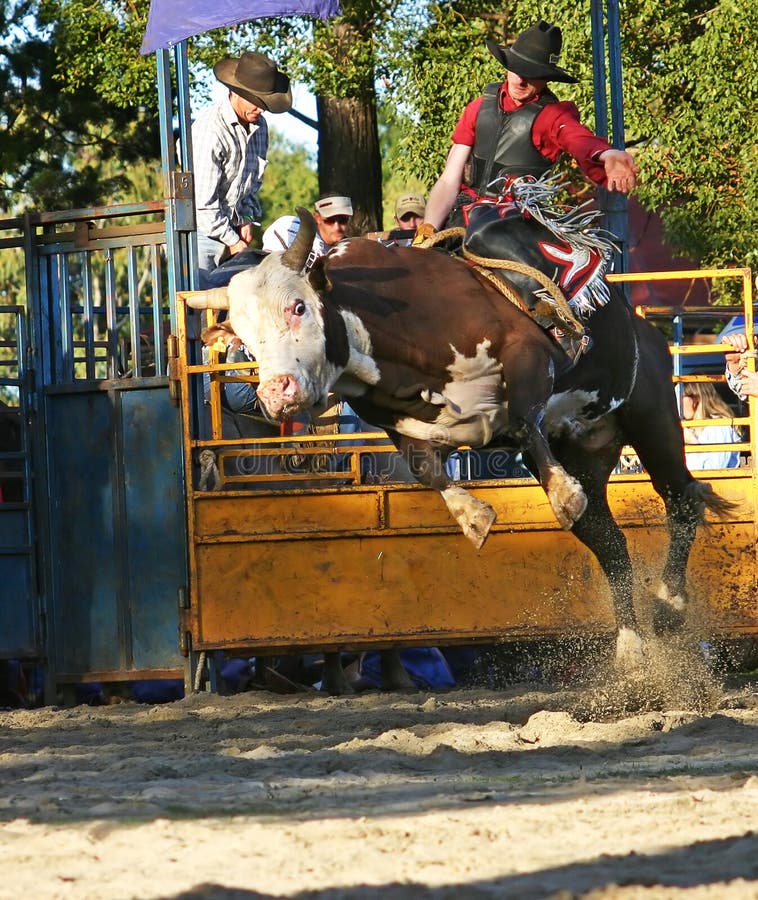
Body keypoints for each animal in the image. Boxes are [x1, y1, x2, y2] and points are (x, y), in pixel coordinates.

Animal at [186, 207, 733, 674]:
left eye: (298, 306)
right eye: (243, 337)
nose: (276, 393)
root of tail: (649, 331)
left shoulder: (528, 352)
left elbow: (525, 418)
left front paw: (559, 494)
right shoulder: (407, 426)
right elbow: (427, 469)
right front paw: (473, 515)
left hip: (652, 415)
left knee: (682, 500)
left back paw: (669, 606)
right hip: (588, 448)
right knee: (609, 541)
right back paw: (631, 650)